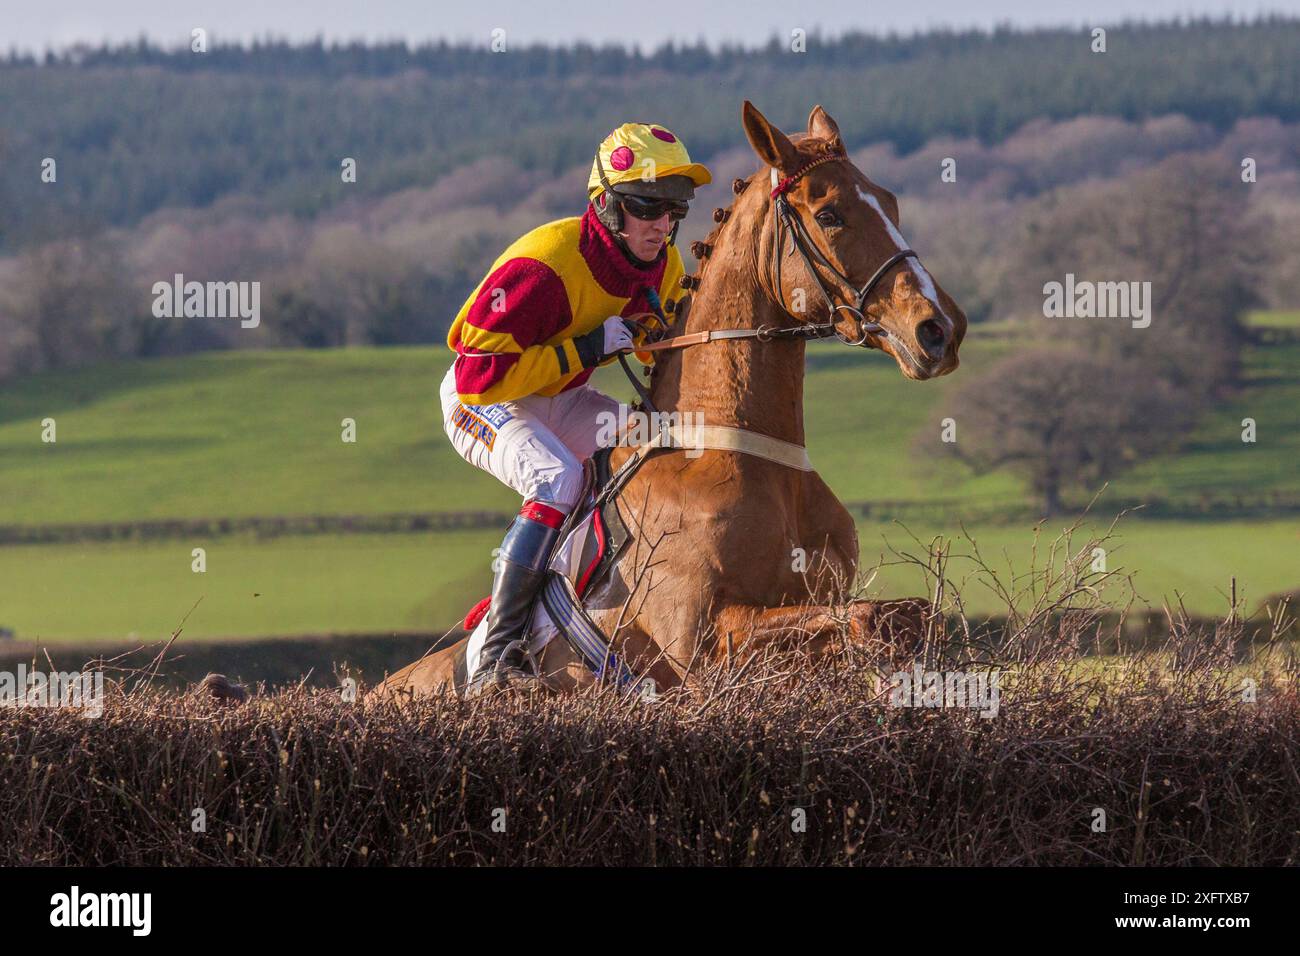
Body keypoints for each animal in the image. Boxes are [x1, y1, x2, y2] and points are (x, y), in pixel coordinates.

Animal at [372, 101, 966, 700]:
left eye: (889, 201)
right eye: (830, 216)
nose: (940, 328)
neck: (751, 456)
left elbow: (907, 615)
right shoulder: (700, 647)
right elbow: (866, 619)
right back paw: (497, 667)